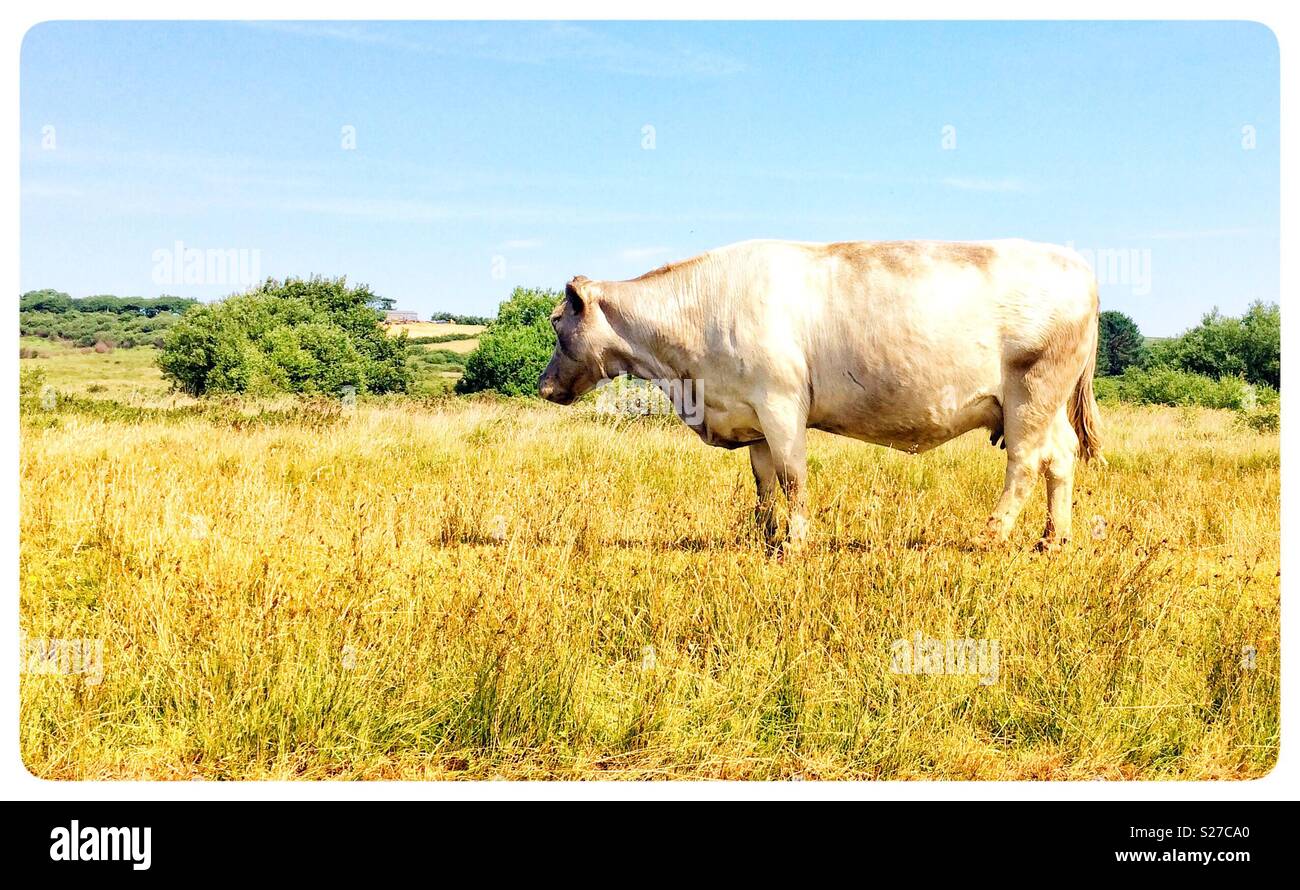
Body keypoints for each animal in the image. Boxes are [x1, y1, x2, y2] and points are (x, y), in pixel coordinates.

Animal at [538, 239, 1102, 552]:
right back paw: (1053, 540)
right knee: (1061, 457)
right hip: (1043, 401)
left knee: (1024, 464)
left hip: (1031, 390)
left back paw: (990, 536)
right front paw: (767, 538)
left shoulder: (781, 403)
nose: (543, 386)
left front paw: (796, 542)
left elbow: (792, 477)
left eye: (556, 322)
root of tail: (1079, 266)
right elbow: (764, 482)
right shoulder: (749, 413)